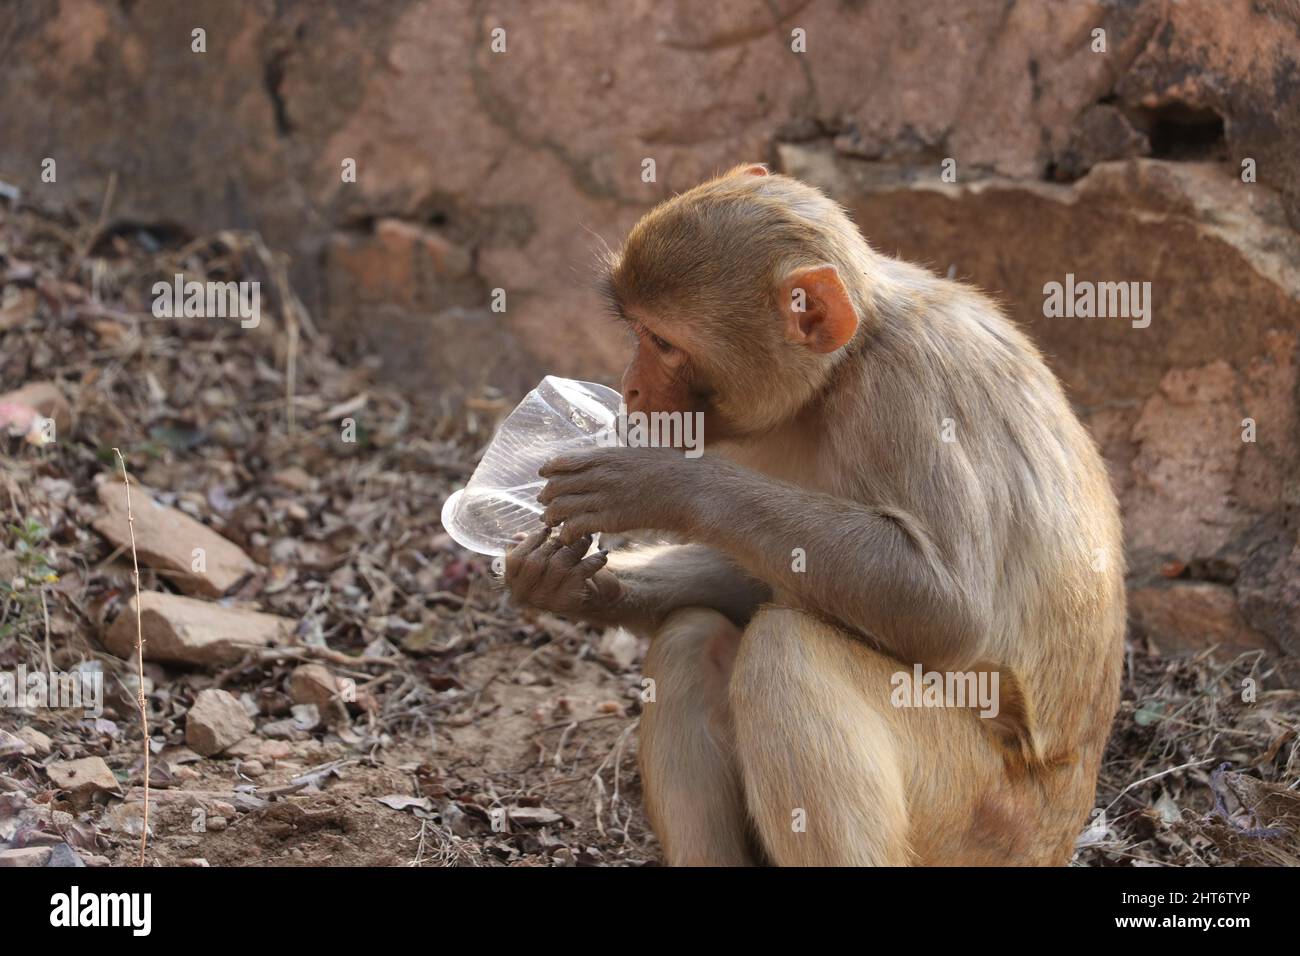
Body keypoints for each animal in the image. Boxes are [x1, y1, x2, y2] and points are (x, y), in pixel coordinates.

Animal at [503, 163, 1125, 866]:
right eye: (635, 331)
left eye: (661, 341)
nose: (630, 387)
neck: (845, 367)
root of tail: (1067, 819)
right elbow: (762, 574)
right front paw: (573, 583)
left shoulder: (908, 390)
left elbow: (951, 609)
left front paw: (660, 483)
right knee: (696, 637)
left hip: (984, 818)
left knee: (787, 649)